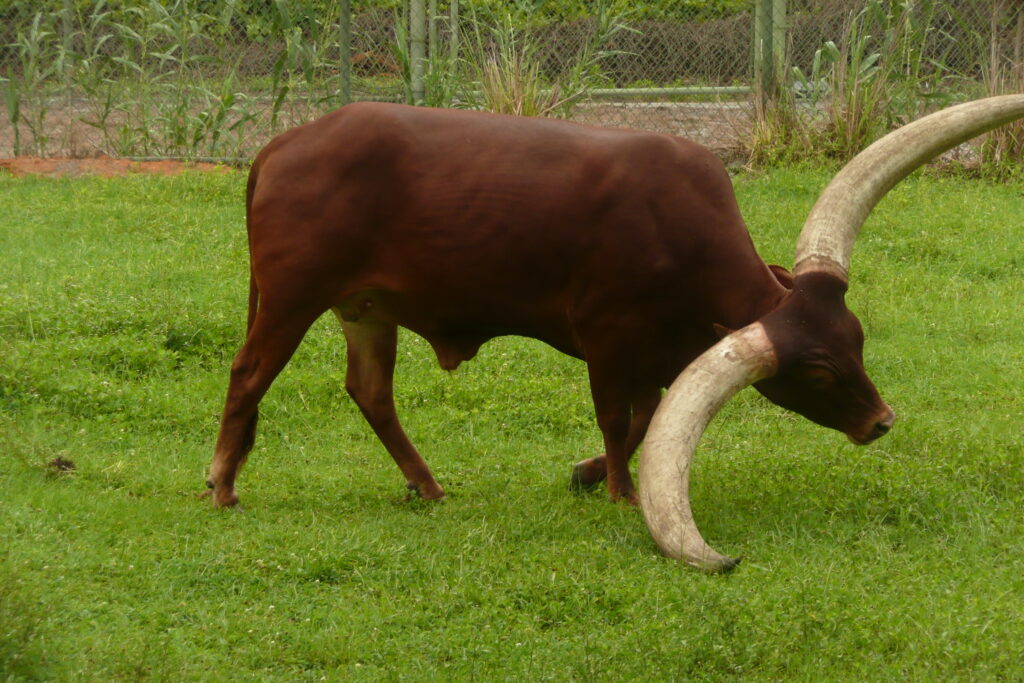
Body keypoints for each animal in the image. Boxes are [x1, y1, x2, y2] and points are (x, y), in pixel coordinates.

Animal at [205, 97, 1024, 569]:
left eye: (857, 338)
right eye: (818, 369)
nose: (881, 420)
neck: (679, 234)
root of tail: (286, 142)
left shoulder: (661, 356)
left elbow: (644, 422)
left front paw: (587, 474)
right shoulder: (604, 341)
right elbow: (615, 420)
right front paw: (621, 494)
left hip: (367, 310)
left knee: (370, 392)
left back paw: (427, 485)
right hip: (291, 297)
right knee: (249, 373)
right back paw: (222, 486)